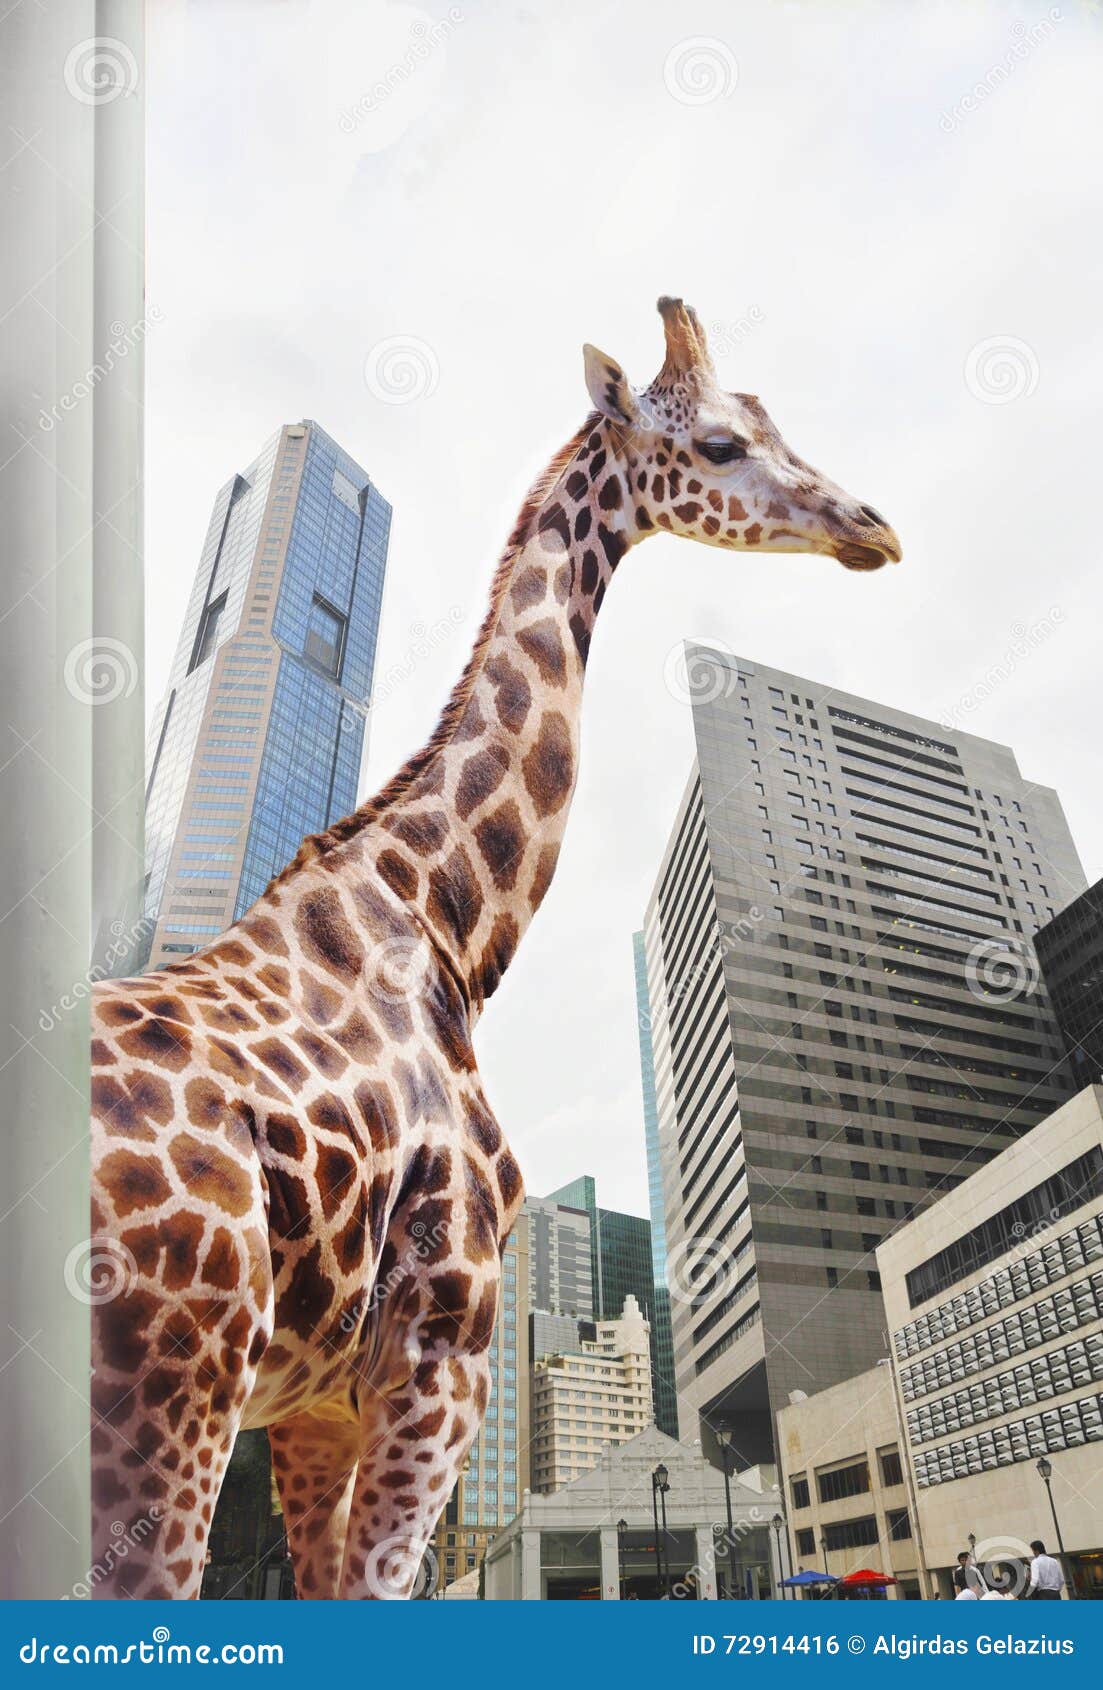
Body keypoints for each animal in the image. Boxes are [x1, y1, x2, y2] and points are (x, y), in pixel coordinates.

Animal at [89, 297, 901, 1599]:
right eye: (721, 444)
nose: (872, 527)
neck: (441, 926)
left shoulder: (316, 1407)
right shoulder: (439, 1357)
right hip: (175, 1392)